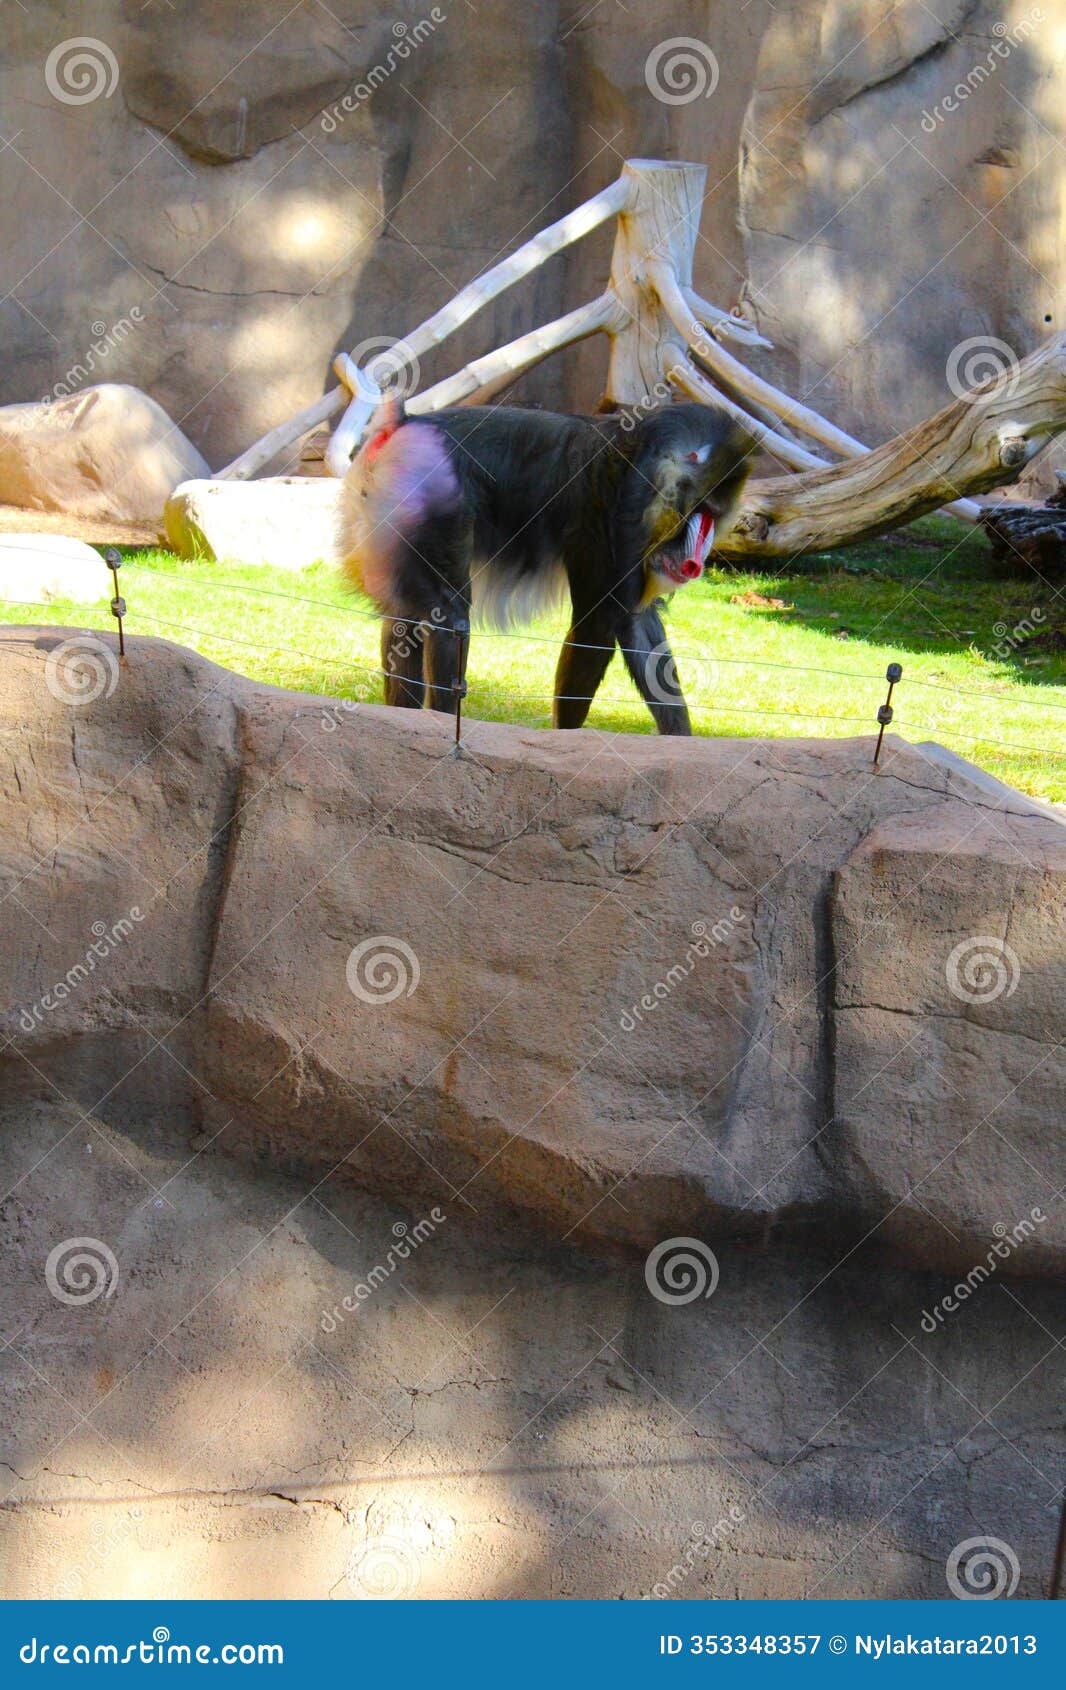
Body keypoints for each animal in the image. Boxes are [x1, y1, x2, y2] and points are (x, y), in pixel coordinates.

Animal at [337, 398, 756, 735]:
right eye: (700, 509)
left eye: (713, 516)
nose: (695, 563)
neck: (642, 454)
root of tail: (403, 423)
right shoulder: (620, 512)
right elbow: (594, 627)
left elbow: (641, 629)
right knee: (448, 617)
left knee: (402, 622)